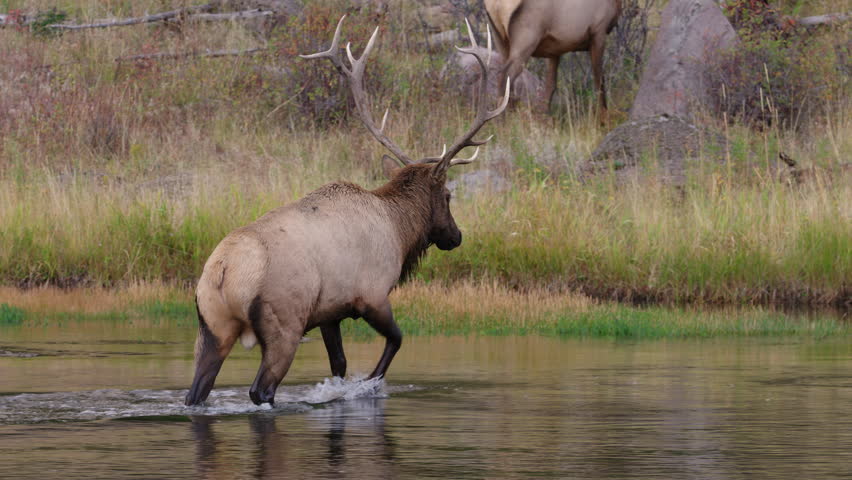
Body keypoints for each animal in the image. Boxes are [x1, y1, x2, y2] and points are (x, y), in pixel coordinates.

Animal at [185, 16, 510, 407]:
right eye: (448, 196)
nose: (456, 236)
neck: (399, 230)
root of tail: (224, 269)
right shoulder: (371, 294)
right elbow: (396, 340)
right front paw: (368, 384)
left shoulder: (330, 313)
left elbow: (338, 363)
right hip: (284, 322)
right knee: (260, 389)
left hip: (211, 325)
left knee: (195, 392)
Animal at [484, 0, 622, 121]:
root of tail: (496, 4)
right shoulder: (599, 31)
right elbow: (600, 82)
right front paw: (603, 120)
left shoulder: (555, 48)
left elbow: (550, 86)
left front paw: (545, 120)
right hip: (526, 39)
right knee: (504, 77)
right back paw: (505, 124)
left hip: (501, 41)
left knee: (508, 83)